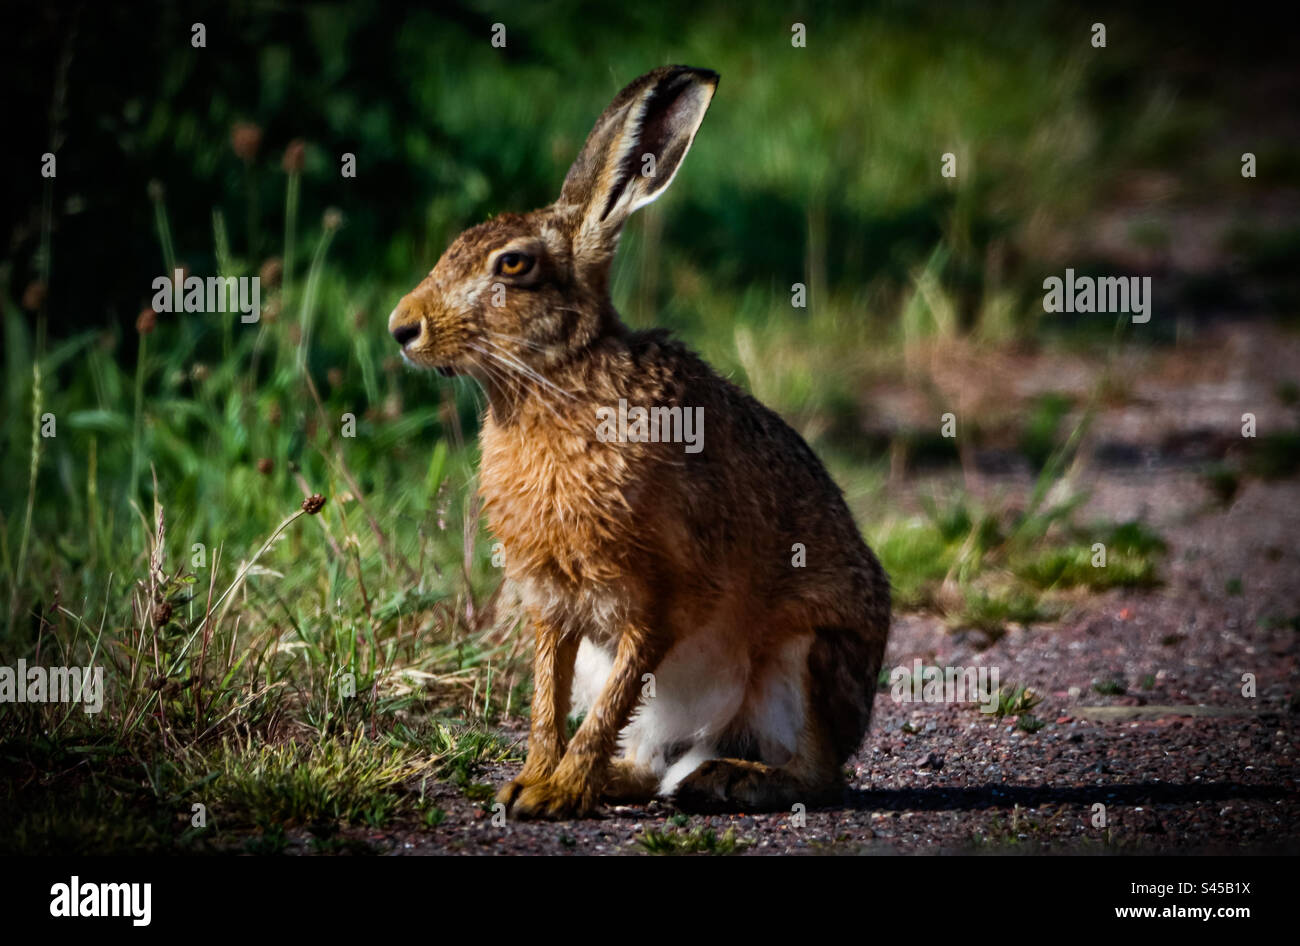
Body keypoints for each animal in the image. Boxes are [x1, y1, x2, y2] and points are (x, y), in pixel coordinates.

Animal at [388, 65, 890, 819]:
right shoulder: (553, 607)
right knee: (654, 761)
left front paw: (556, 793)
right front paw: (531, 782)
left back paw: (728, 778)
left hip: (804, 657)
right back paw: (629, 781)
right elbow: (548, 701)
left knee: (817, 772)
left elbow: (605, 704)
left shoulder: (659, 598)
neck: (558, 378)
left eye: (513, 266)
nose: (402, 327)